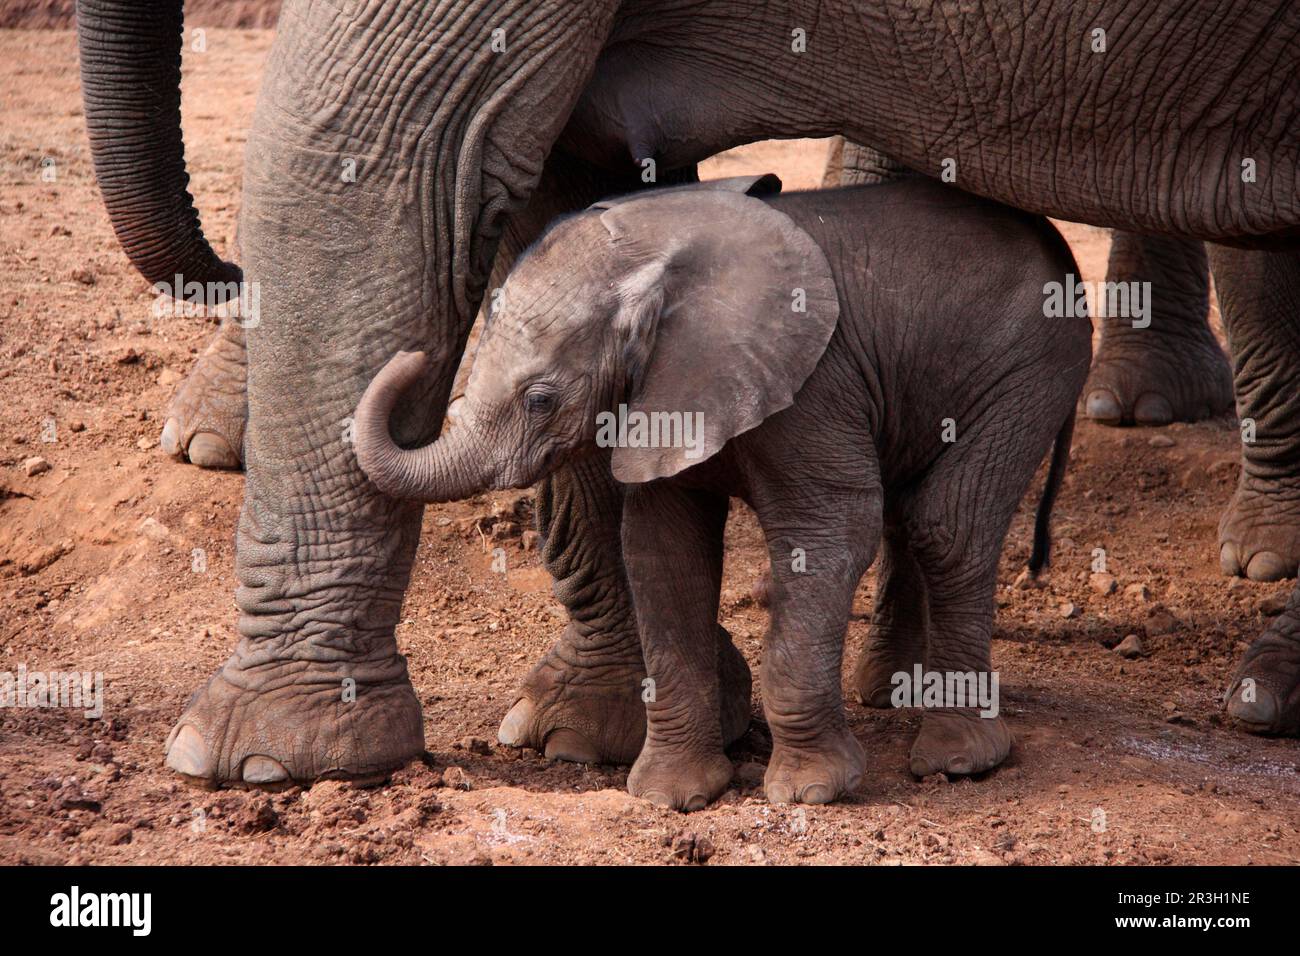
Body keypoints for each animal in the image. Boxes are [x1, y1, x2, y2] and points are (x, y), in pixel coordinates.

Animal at [350, 175, 1090, 807]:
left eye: (540, 399)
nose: (411, 356)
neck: (652, 270)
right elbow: (663, 552)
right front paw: (671, 797)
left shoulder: (814, 384)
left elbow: (829, 534)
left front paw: (810, 794)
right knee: (910, 515)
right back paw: (891, 696)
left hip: (1028, 364)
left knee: (947, 524)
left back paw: (957, 760)